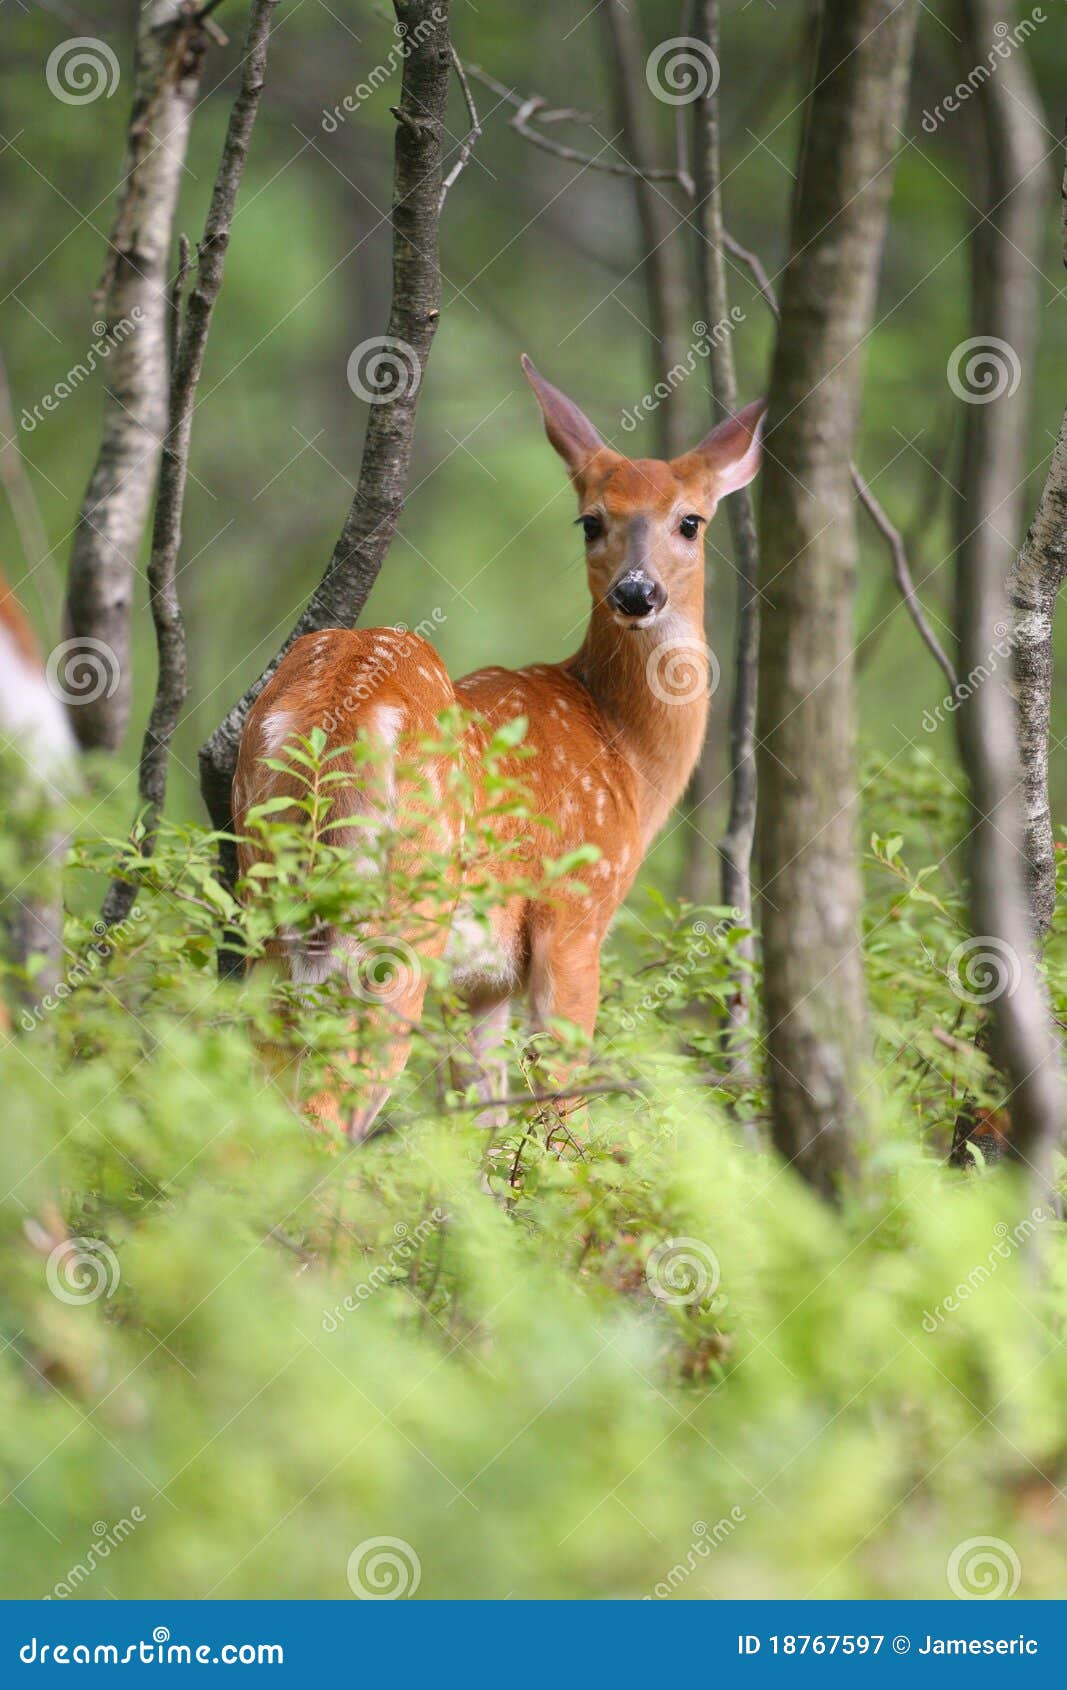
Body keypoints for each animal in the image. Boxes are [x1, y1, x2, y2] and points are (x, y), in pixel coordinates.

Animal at [234, 358, 765, 1138]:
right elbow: (557, 1108)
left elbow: (479, 1119)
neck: (624, 752)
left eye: (689, 521)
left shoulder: (481, 981)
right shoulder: (576, 913)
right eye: (591, 520)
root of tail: (331, 719)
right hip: (399, 919)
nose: (637, 593)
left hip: (266, 899)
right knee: (326, 1110)